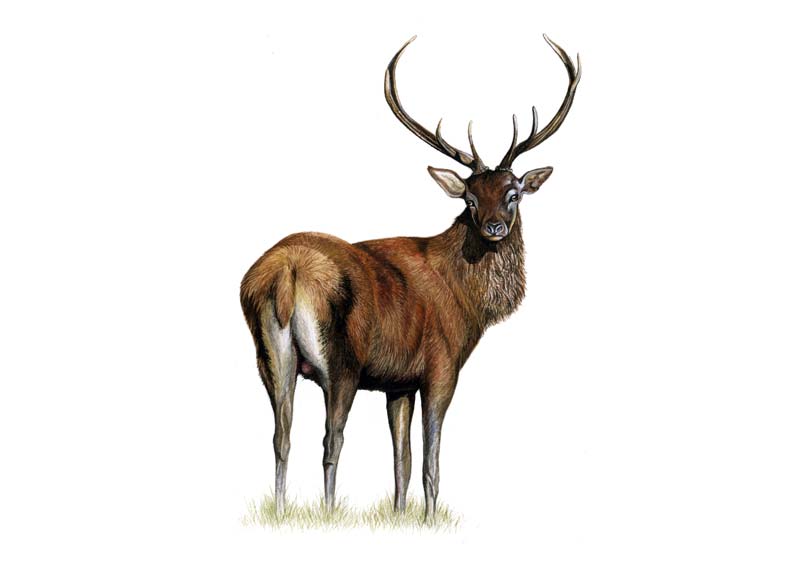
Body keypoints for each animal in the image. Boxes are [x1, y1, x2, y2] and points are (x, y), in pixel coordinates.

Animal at [240, 34, 581, 522]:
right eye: (470, 199)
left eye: (513, 193)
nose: (495, 226)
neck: (469, 303)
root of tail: (285, 273)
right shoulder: (441, 368)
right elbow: (429, 460)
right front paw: (430, 517)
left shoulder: (397, 382)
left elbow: (400, 459)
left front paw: (401, 516)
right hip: (340, 363)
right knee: (330, 440)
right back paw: (327, 512)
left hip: (267, 356)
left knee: (280, 436)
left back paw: (283, 511)